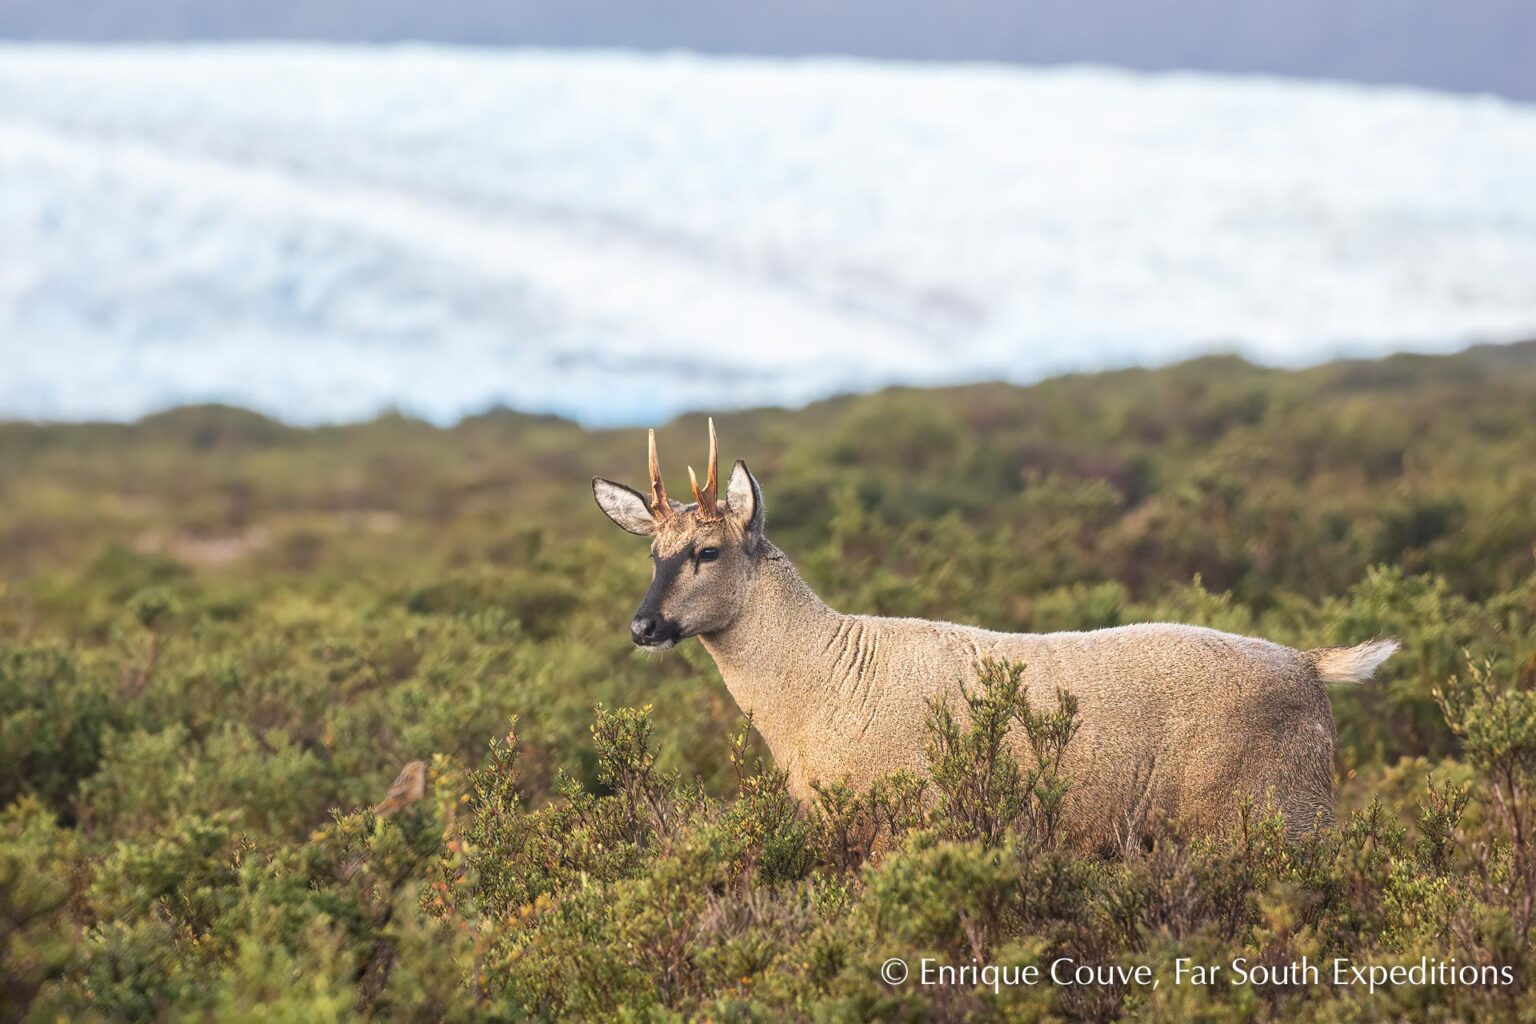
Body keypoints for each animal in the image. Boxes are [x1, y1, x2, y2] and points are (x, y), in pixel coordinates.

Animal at [592, 420, 1397, 851]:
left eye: (707, 551)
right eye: (653, 554)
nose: (642, 625)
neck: (822, 689)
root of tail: (1309, 665)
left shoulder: (907, 819)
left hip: (1281, 811)